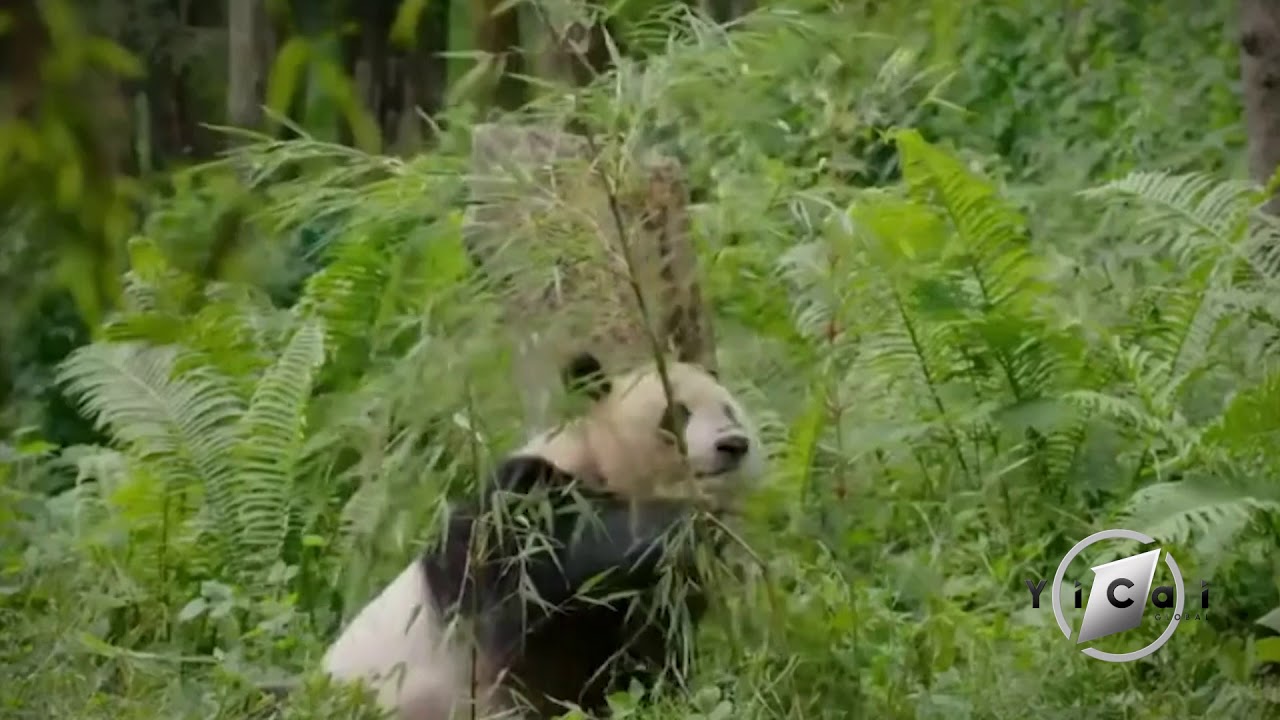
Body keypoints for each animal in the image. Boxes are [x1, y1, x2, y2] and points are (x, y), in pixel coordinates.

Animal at [319, 350, 766, 720]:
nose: (733, 444)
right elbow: (522, 594)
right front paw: (674, 525)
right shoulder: (514, 505)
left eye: (729, 410)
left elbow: (649, 650)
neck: (597, 467)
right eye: (676, 414)